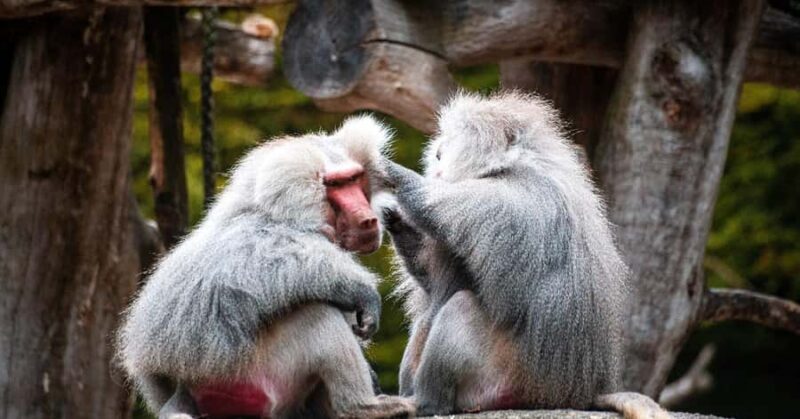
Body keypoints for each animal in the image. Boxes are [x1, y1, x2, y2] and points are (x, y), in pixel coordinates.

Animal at [118, 115, 415, 419]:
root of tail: (185, 390)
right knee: (318, 314)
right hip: (250, 375)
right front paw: (363, 292)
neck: (284, 211)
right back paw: (364, 408)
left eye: (354, 179)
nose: (368, 220)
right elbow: (270, 267)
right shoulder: (262, 237)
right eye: (336, 184)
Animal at [382, 91, 670, 419]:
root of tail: (578, 395)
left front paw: (389, 170)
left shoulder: (509, 201)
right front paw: (393, 215)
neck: (512, 166)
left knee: (460, 307)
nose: (439, 154)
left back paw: (426, 403)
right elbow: (430, 280)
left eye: (457, 140)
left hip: (508, 378)